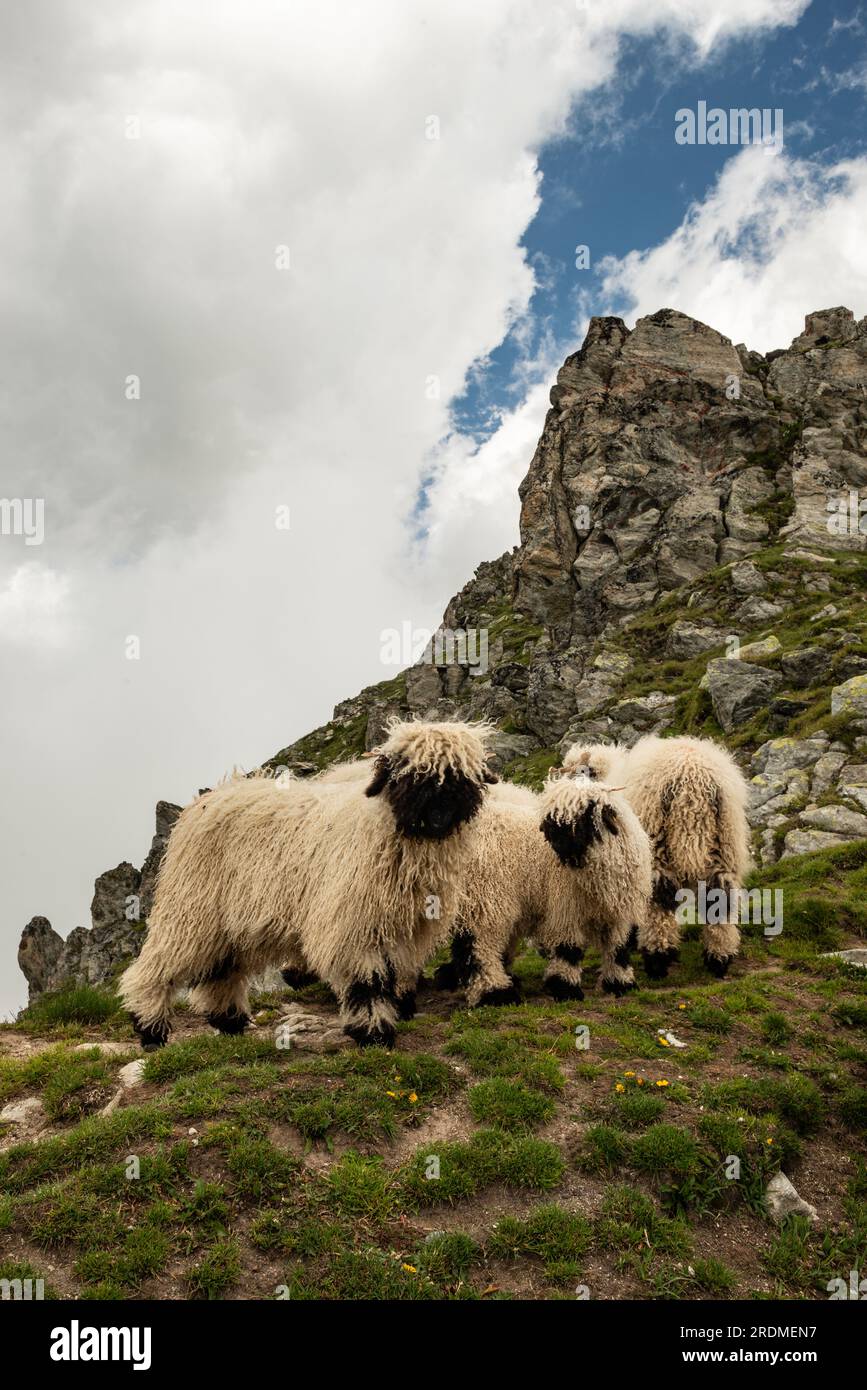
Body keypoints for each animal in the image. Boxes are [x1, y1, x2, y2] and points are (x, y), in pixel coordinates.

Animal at [119, 720, 496, 1050]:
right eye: (409, 773)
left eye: (461, 776)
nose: (439, 813)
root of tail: (207, 801)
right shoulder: (353, 925)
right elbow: (368, 982)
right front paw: (374, 1034)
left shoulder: (399, 929)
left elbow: (389, 978)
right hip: (192, 910)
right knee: (159, 964)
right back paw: (149, 1027)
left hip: (227, 923)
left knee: (221, 971)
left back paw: (229, 1022)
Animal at [561, 735, 751, 979]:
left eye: (578, 773)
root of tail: (693, 778)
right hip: (725, 845)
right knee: (719, 899)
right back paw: (719, 960)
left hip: (655, 843)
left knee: (659, 901)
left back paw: (657, 959)